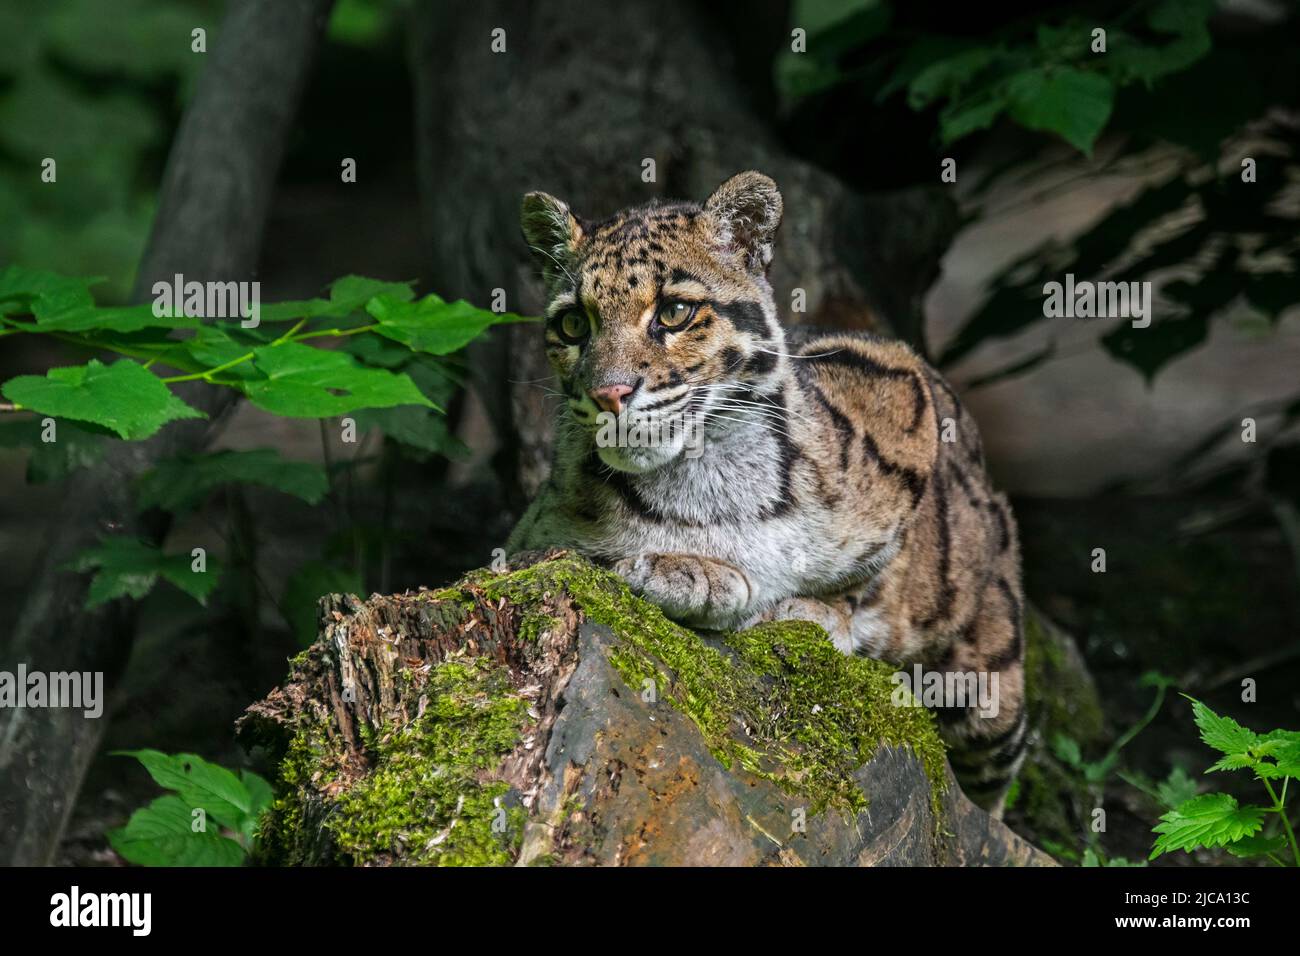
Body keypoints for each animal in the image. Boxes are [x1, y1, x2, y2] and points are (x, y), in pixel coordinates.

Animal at [507, 171, 1028, 814]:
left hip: (990, 681)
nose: (608, 394)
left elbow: (865, 577)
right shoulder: (532, 536)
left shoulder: (904, 398)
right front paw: (696, 571)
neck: (705, 470)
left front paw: (809, 606)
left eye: (674, 312)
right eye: (574, 324)